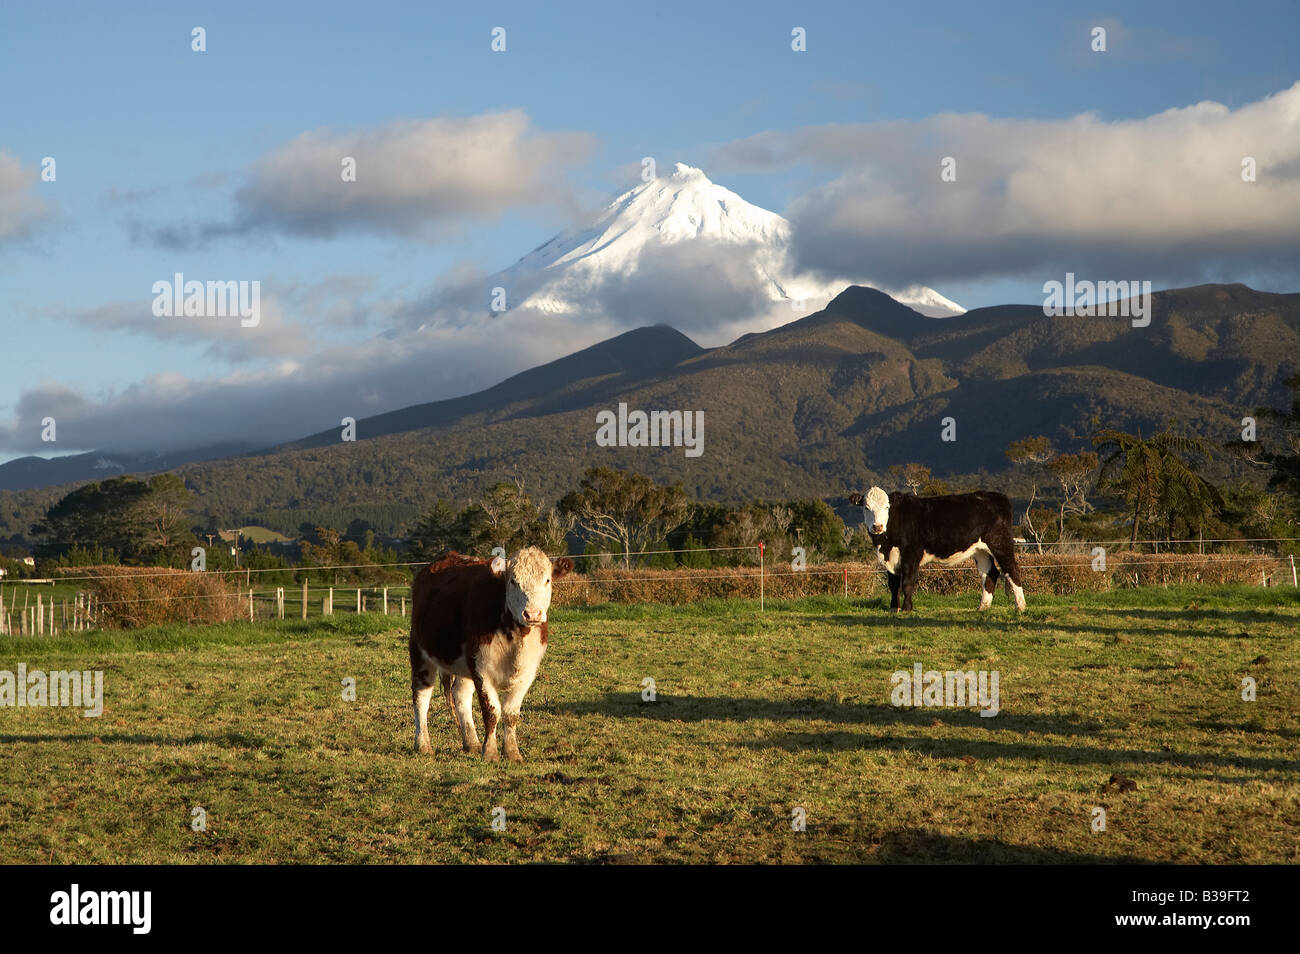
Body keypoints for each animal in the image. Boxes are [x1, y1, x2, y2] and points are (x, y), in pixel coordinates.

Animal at [409, 546, 573, 761]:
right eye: (513, 581)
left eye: (547, 580)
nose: (532, 614)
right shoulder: (482, 670)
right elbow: (491, 711)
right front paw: (490, 753)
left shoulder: (527, 672)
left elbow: (511, 713)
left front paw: (511, 752)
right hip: (419, 649)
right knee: (421, 695)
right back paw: (423, 745)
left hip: (465, 663)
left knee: (460, 694)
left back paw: (471, 743)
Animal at [848, 487, 1025, 613]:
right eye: (866, 507)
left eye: (886, 507)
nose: (877, 526)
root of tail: (997, 497)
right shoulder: (890, 558)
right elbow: (893, 584)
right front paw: (893, 608)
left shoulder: (911, 554)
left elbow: (907, 583)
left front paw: (906, 608)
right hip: (980, 550)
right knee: (990, 573)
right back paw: (983, 607)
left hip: (1000, 543)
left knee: (1012, 569)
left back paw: (1020, 606)